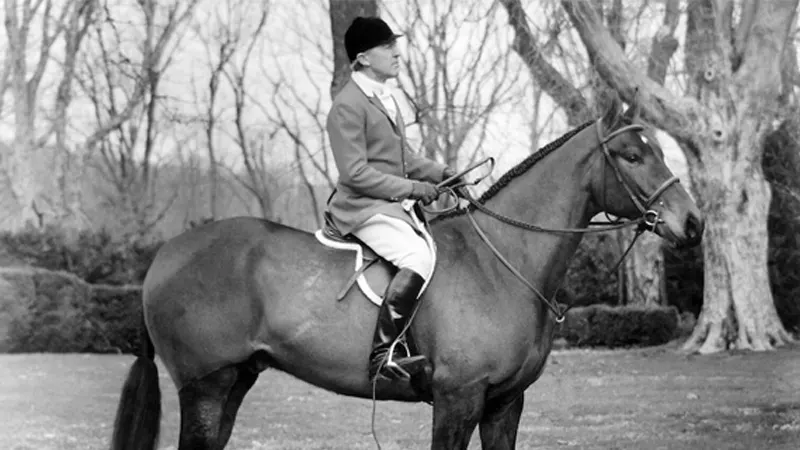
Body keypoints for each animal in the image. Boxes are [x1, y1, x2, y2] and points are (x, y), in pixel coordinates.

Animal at [110, 98, 704, 450]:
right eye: (631, 155)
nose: (693, 224)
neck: (504, 263)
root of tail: (165, 255)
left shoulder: (504, 404)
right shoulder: (458, 399)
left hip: (236, 379)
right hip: (205, 386)